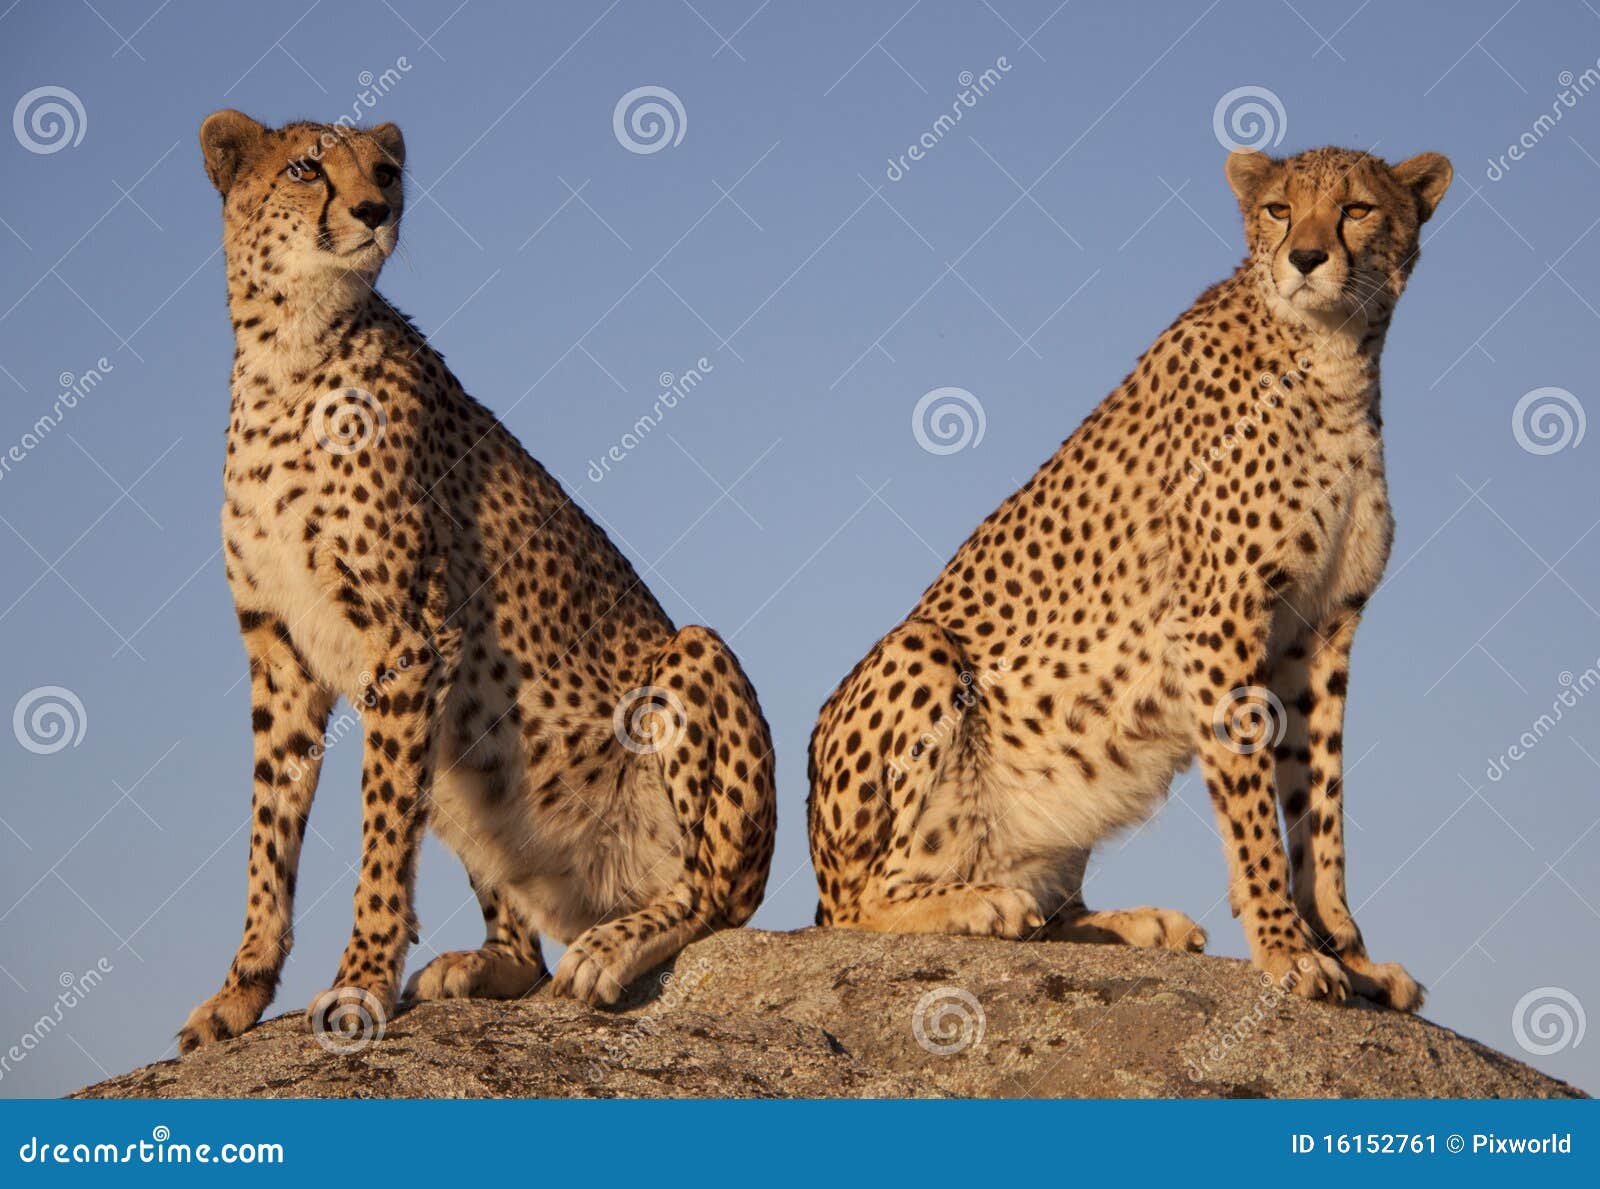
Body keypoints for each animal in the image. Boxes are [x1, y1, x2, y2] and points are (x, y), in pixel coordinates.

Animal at [178, 111, 776, 1052]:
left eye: (384, 169)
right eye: (308, 167)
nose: (375, 209)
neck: (291, 351)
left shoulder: (410, 638)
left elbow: (382, 836)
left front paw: (359, 983)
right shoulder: (280, 651)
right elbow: (269, 835)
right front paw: (239, 994)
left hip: (688, 662)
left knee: (714, 896)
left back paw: (616, 942)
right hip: (469, 755)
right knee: (525, 947)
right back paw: (486, 963)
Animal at [807, 146, 1453, 1010]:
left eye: (1356, 209)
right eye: (1280, 209)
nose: (1308, 258)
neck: (1333, 359)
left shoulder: (1320, 633)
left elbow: (1319, 801)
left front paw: (1348, 952)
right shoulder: (1220, 622)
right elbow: (1253, 803)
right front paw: (1288, 948)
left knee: (1048, 913)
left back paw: (1130, 923)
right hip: (922, 652)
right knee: (860, 905)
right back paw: (978, 902)